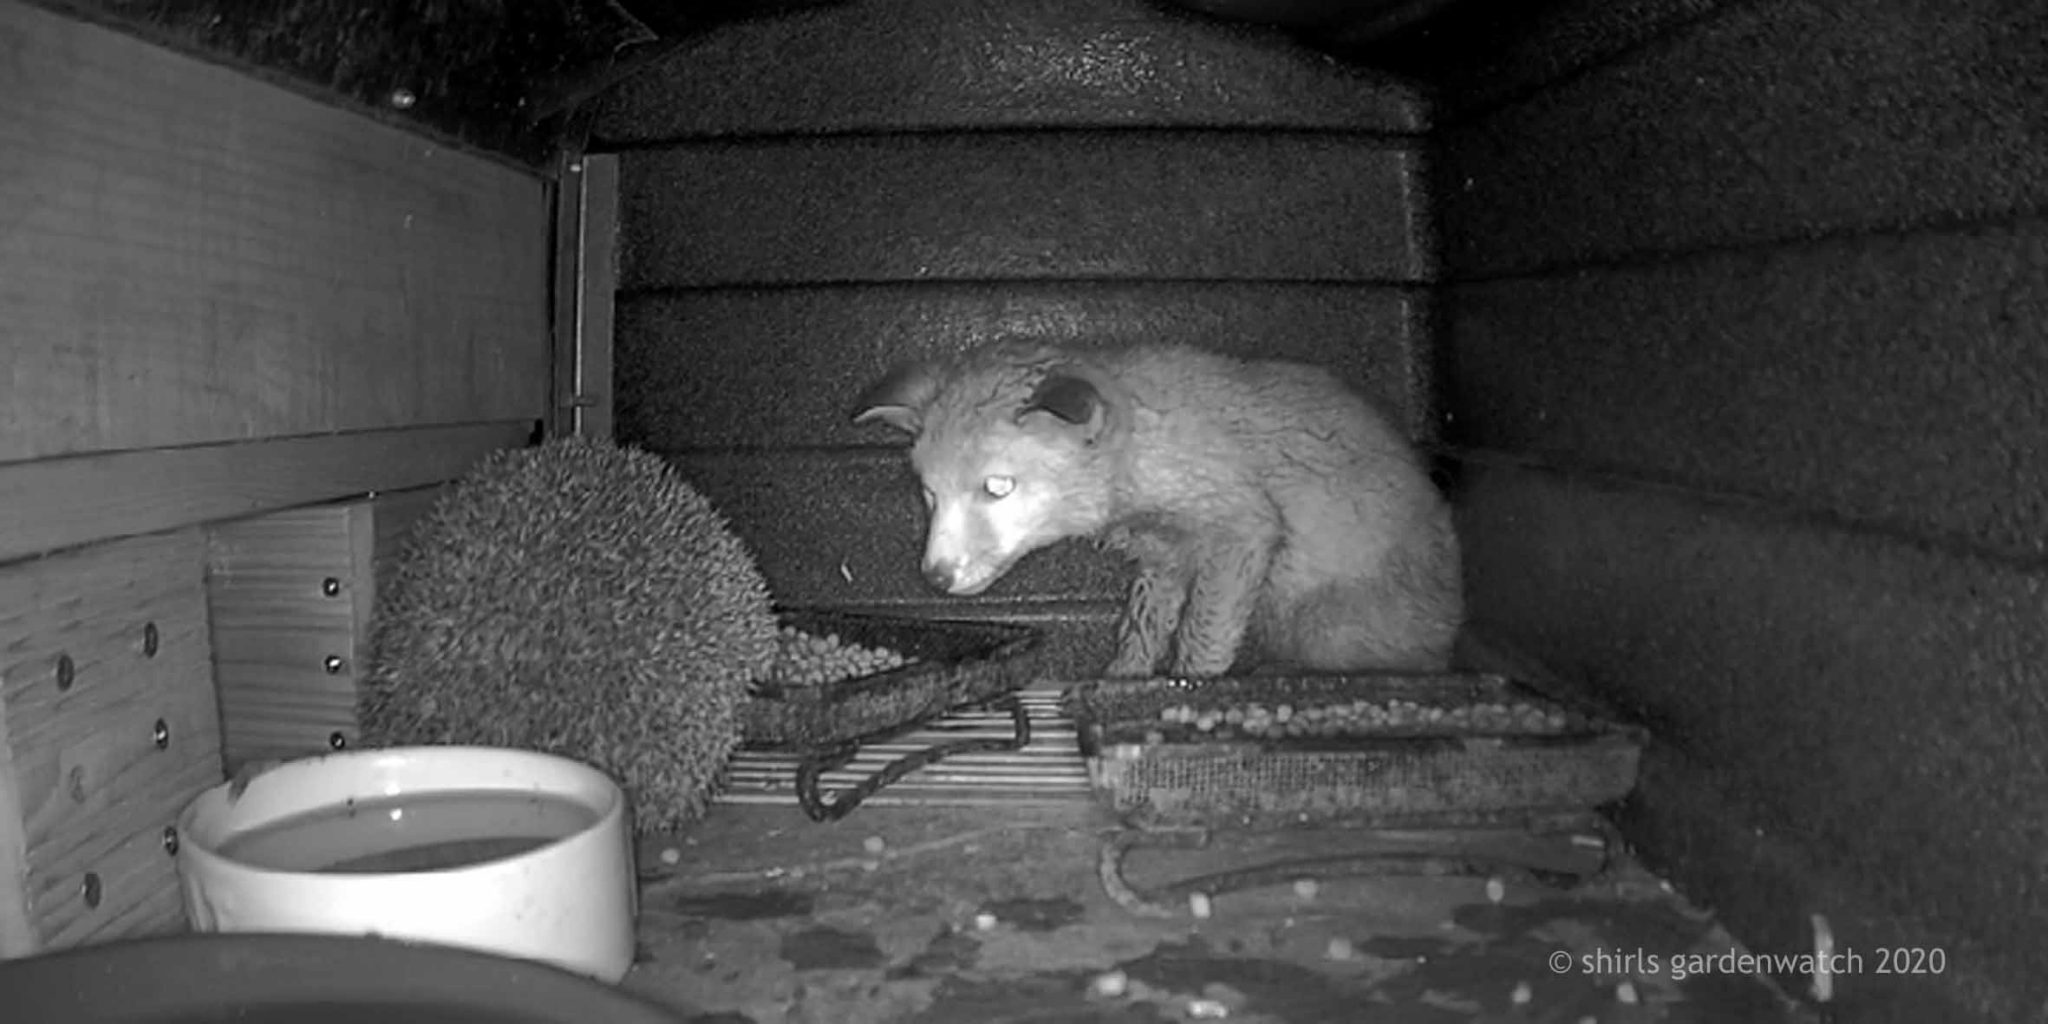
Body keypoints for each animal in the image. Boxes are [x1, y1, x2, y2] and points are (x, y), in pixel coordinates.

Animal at [850, 339, 1464, 677]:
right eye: (930, 493)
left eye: (997, 487)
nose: (934, 577)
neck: (1142, 455)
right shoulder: (1165, 557)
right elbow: (1141, 631)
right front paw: (1122, 683)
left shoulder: (1240, 527)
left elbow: (1203, 637)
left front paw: (1187, 690)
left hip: (1324, 623)